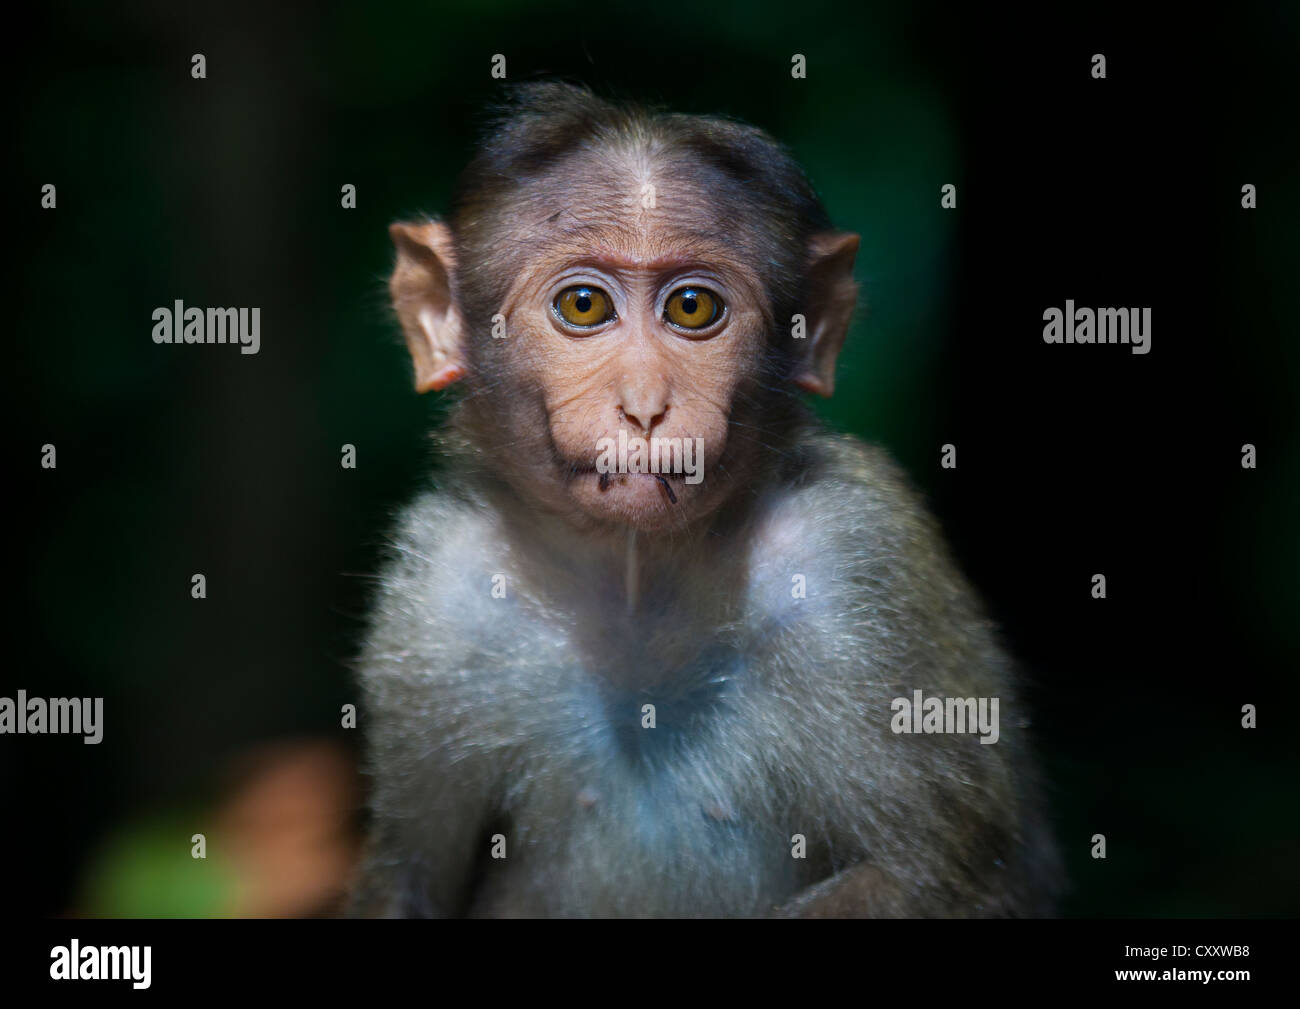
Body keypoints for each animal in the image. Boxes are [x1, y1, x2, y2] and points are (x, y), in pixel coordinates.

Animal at [350, 82, 1061, 917]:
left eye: (692, 308)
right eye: (584, 306)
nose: (644, 405)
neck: (636, 579)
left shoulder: (860, 555)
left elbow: (941, 873)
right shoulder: (438, 600)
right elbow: (410, 875)